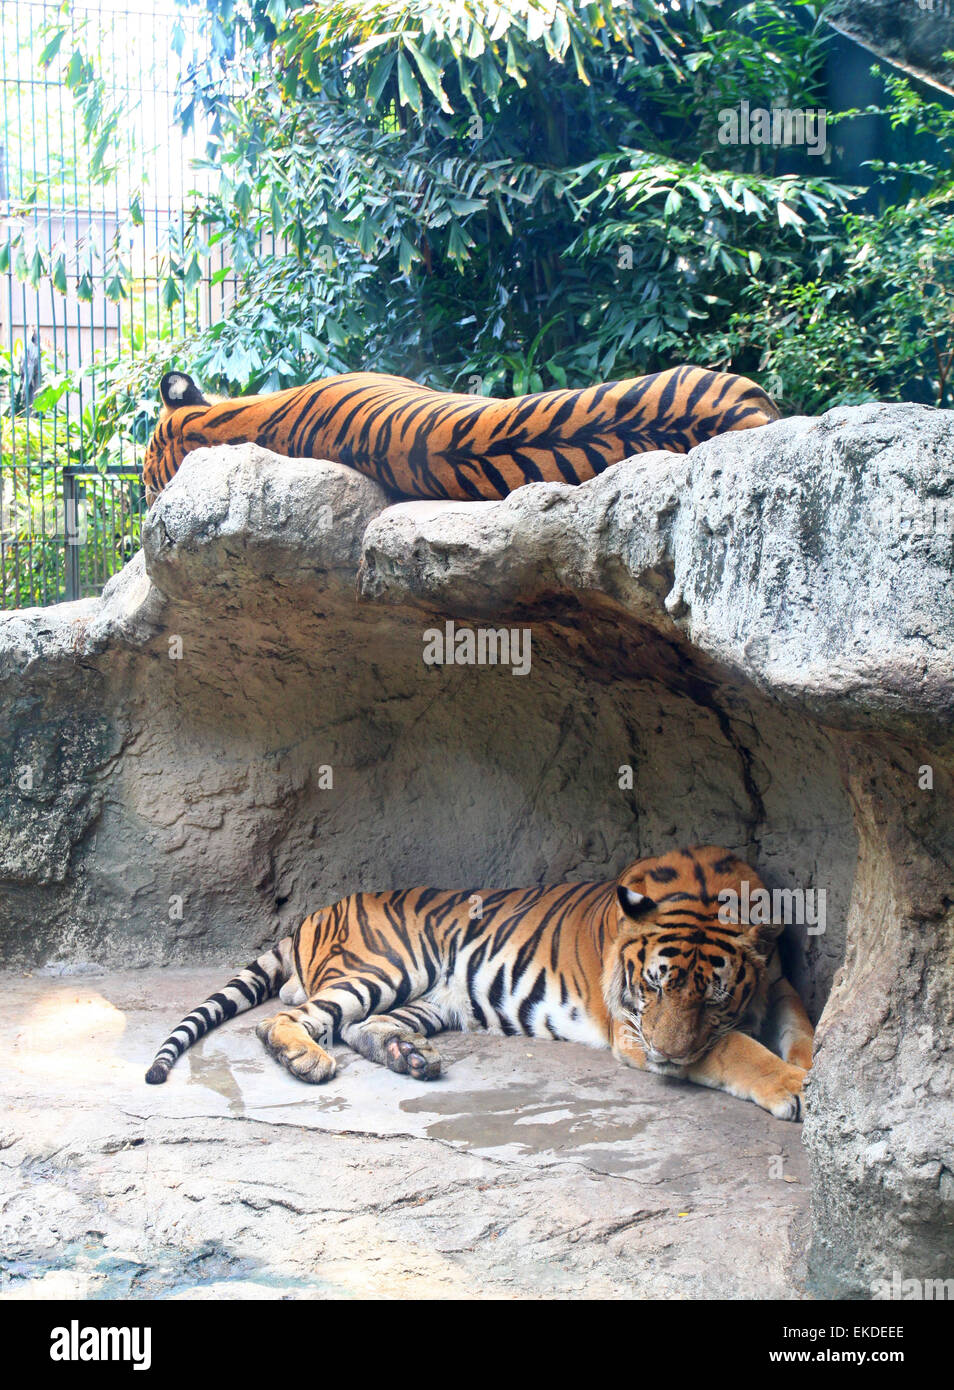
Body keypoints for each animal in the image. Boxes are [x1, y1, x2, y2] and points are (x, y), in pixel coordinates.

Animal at [145, 844, 814, 1120]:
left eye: (713, 997)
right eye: (652, 988)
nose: (668, 1056)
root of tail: (315, 913)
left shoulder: (778, 985)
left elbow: (802, 1028)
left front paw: (812, 1068)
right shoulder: (633, 1031)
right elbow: (732, 1049)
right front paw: (790, 1087)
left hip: (431, 1001)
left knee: (361, 1027)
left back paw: (409, 1056)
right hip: (384, 967)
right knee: (285, 1019)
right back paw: (306, 1060)